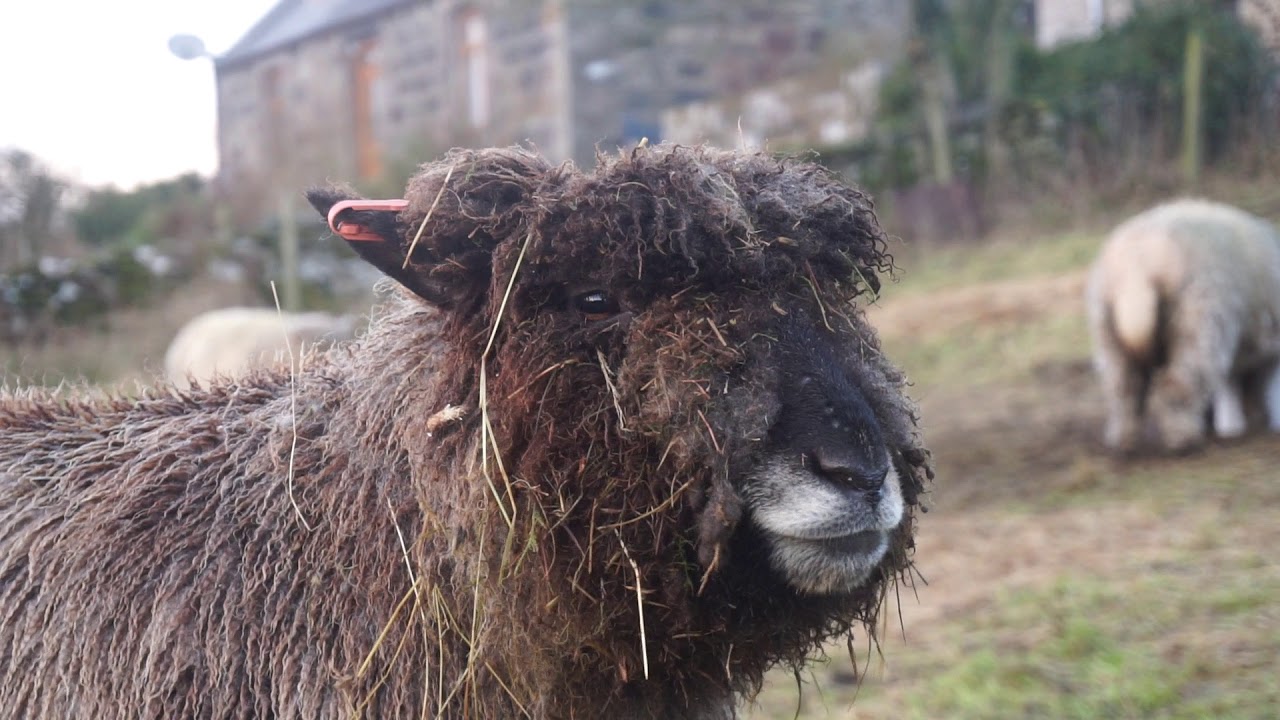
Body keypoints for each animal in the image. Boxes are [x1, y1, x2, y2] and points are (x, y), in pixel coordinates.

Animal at [1086, 198, 1280, 453]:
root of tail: (1137, 269)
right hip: (1197, 318)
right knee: (1180, 382)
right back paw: (1183, 438)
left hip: (1108, 328)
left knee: (1124, 387)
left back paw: (1124, 441)